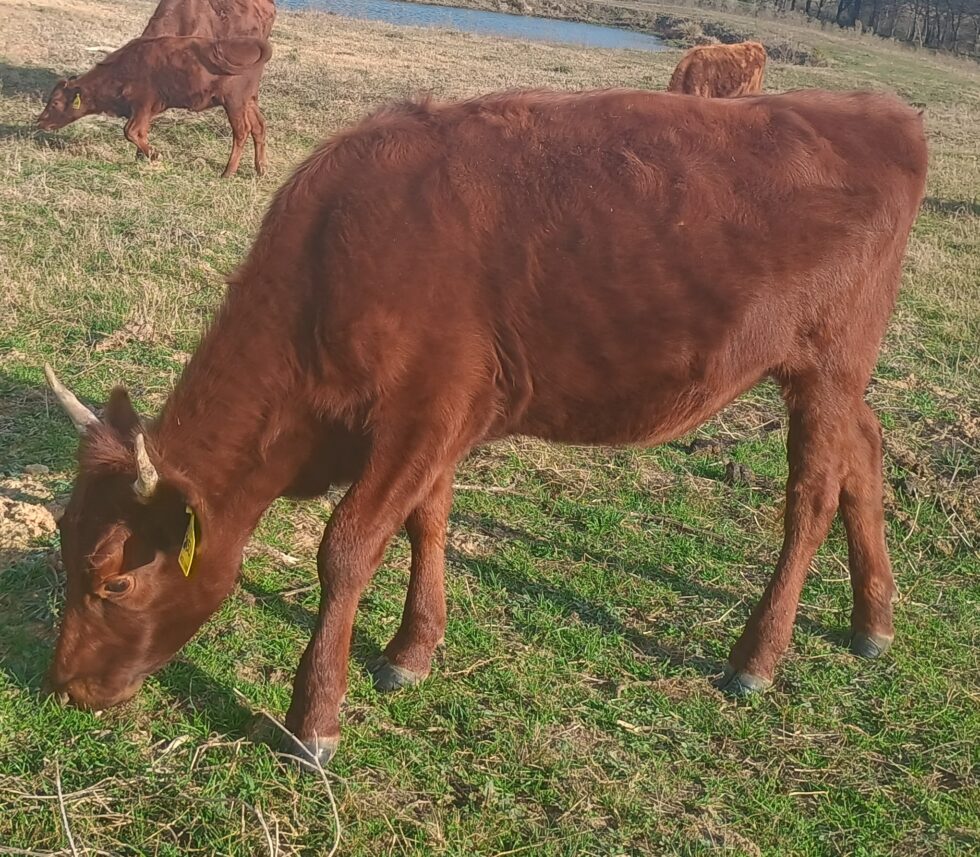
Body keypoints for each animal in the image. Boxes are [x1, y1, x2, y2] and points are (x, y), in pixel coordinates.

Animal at [37, 36, 271, 178]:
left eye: (55, 102)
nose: (40, 121)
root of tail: (250, 43)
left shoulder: (142, 105)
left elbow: (130, 131)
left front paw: (155, 155)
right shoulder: (145, 111)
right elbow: (141, 132)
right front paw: (142, 157)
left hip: (234, 103)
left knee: (241, 131)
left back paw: (227, 172)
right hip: (249, 102)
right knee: (259, 127)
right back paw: (261, 170)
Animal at [42, 88, 927, 767]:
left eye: (114, 581)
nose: (65, 686)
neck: (338, 258)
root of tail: (879, 110)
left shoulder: (420, 414)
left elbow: (349, 546)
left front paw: (313, 722)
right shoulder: (442, 422)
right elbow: (427, 520)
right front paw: (411, 650)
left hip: (826, 364)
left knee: (811, 494)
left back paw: (757, 657)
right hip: (838, 376)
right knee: (866, 450)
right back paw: (873, 621)